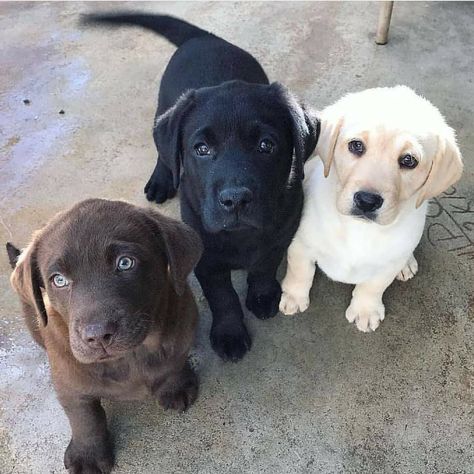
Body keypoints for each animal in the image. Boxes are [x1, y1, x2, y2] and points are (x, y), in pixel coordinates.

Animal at [6, 198, 202, 472]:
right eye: (58, 280)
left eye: (125, 262)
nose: (97, 335)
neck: (131, 356)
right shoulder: (69, 382)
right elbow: (85, 419)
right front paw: (88, 455)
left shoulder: (183, 328)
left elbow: (174, 362)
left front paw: (175, 386)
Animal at [83, 12, 320, 362]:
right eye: (202, 149)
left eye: (266, 145)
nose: (235, 200)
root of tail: (204, 38)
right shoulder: (205, 257)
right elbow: (222, 295)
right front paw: (230, 333)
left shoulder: (281, 234)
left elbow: (263, 267)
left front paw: (263, 295)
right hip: (163, 107)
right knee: (164, 149)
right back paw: (161, 179)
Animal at [278, 86, 462, 334]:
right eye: (356, 145)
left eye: (409, 160)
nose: (367, 201)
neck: (360, 230)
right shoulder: (301, 243)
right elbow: (300, 271)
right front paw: (294, 296)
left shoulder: (387, 265)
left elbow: (373, 287)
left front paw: (365, 311)